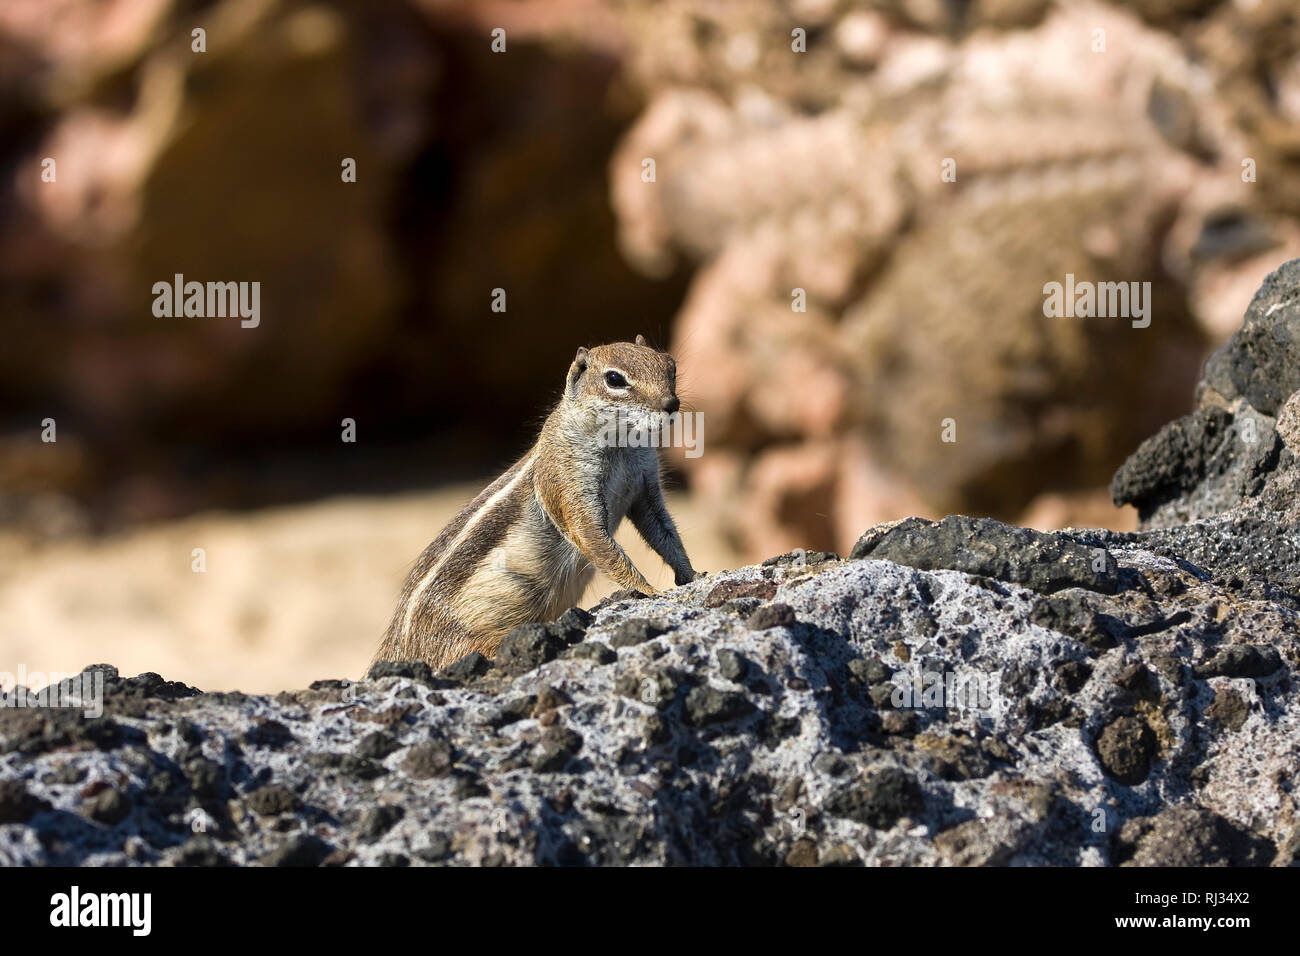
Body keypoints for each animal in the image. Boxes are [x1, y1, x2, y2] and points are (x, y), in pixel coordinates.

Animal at [371, 336, 700, 671]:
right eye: (614, 379)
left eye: (671, 365)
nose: (671, 405)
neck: (621, 444)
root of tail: (399, 645)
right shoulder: (567, 483)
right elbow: (598, 544)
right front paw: (650, 590)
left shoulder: (645, 487)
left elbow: (663, 532)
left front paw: (691, 575)